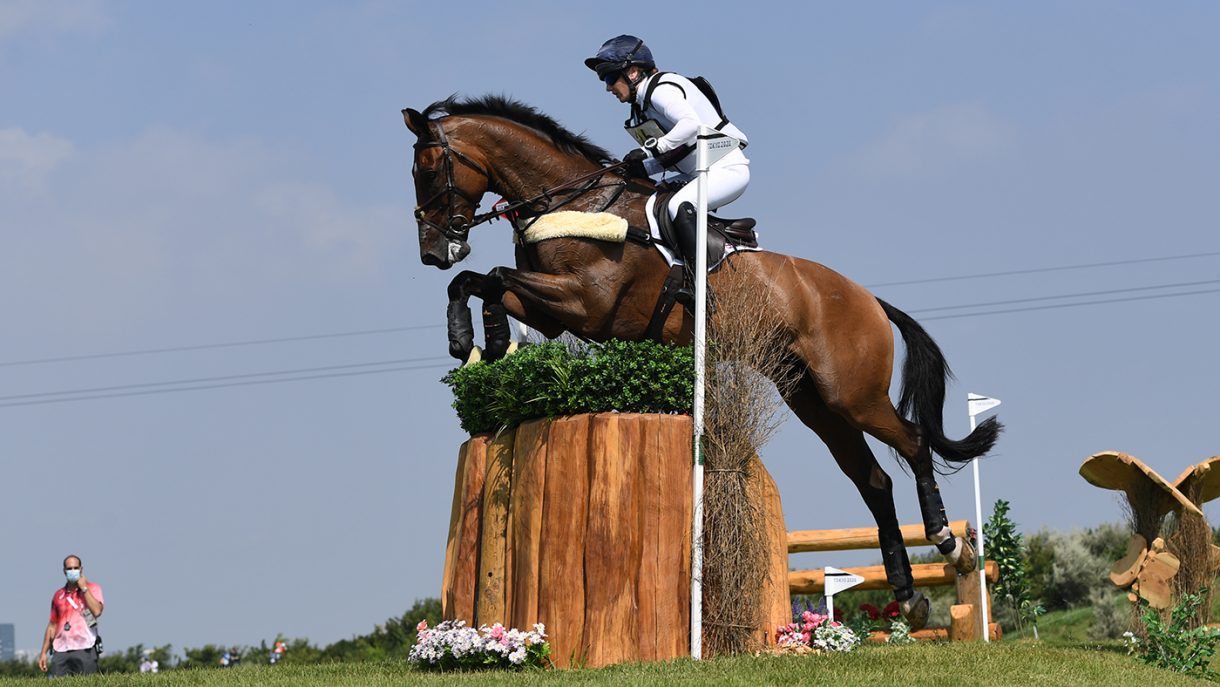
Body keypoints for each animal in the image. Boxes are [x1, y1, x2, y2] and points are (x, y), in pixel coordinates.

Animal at [402, 95, 1002, 629]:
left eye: (428, 170)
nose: (433, 252)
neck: (575, 205)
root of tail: (869, 300)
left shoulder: (586, 302)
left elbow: (492, 277)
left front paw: (471, 337)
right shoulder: (553, 311)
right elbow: (481, 282)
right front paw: (482, 339)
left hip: (851, 394)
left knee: (914, 444)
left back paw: (951, 545)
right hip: (810, 400)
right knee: (874, 481)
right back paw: (908, 597)